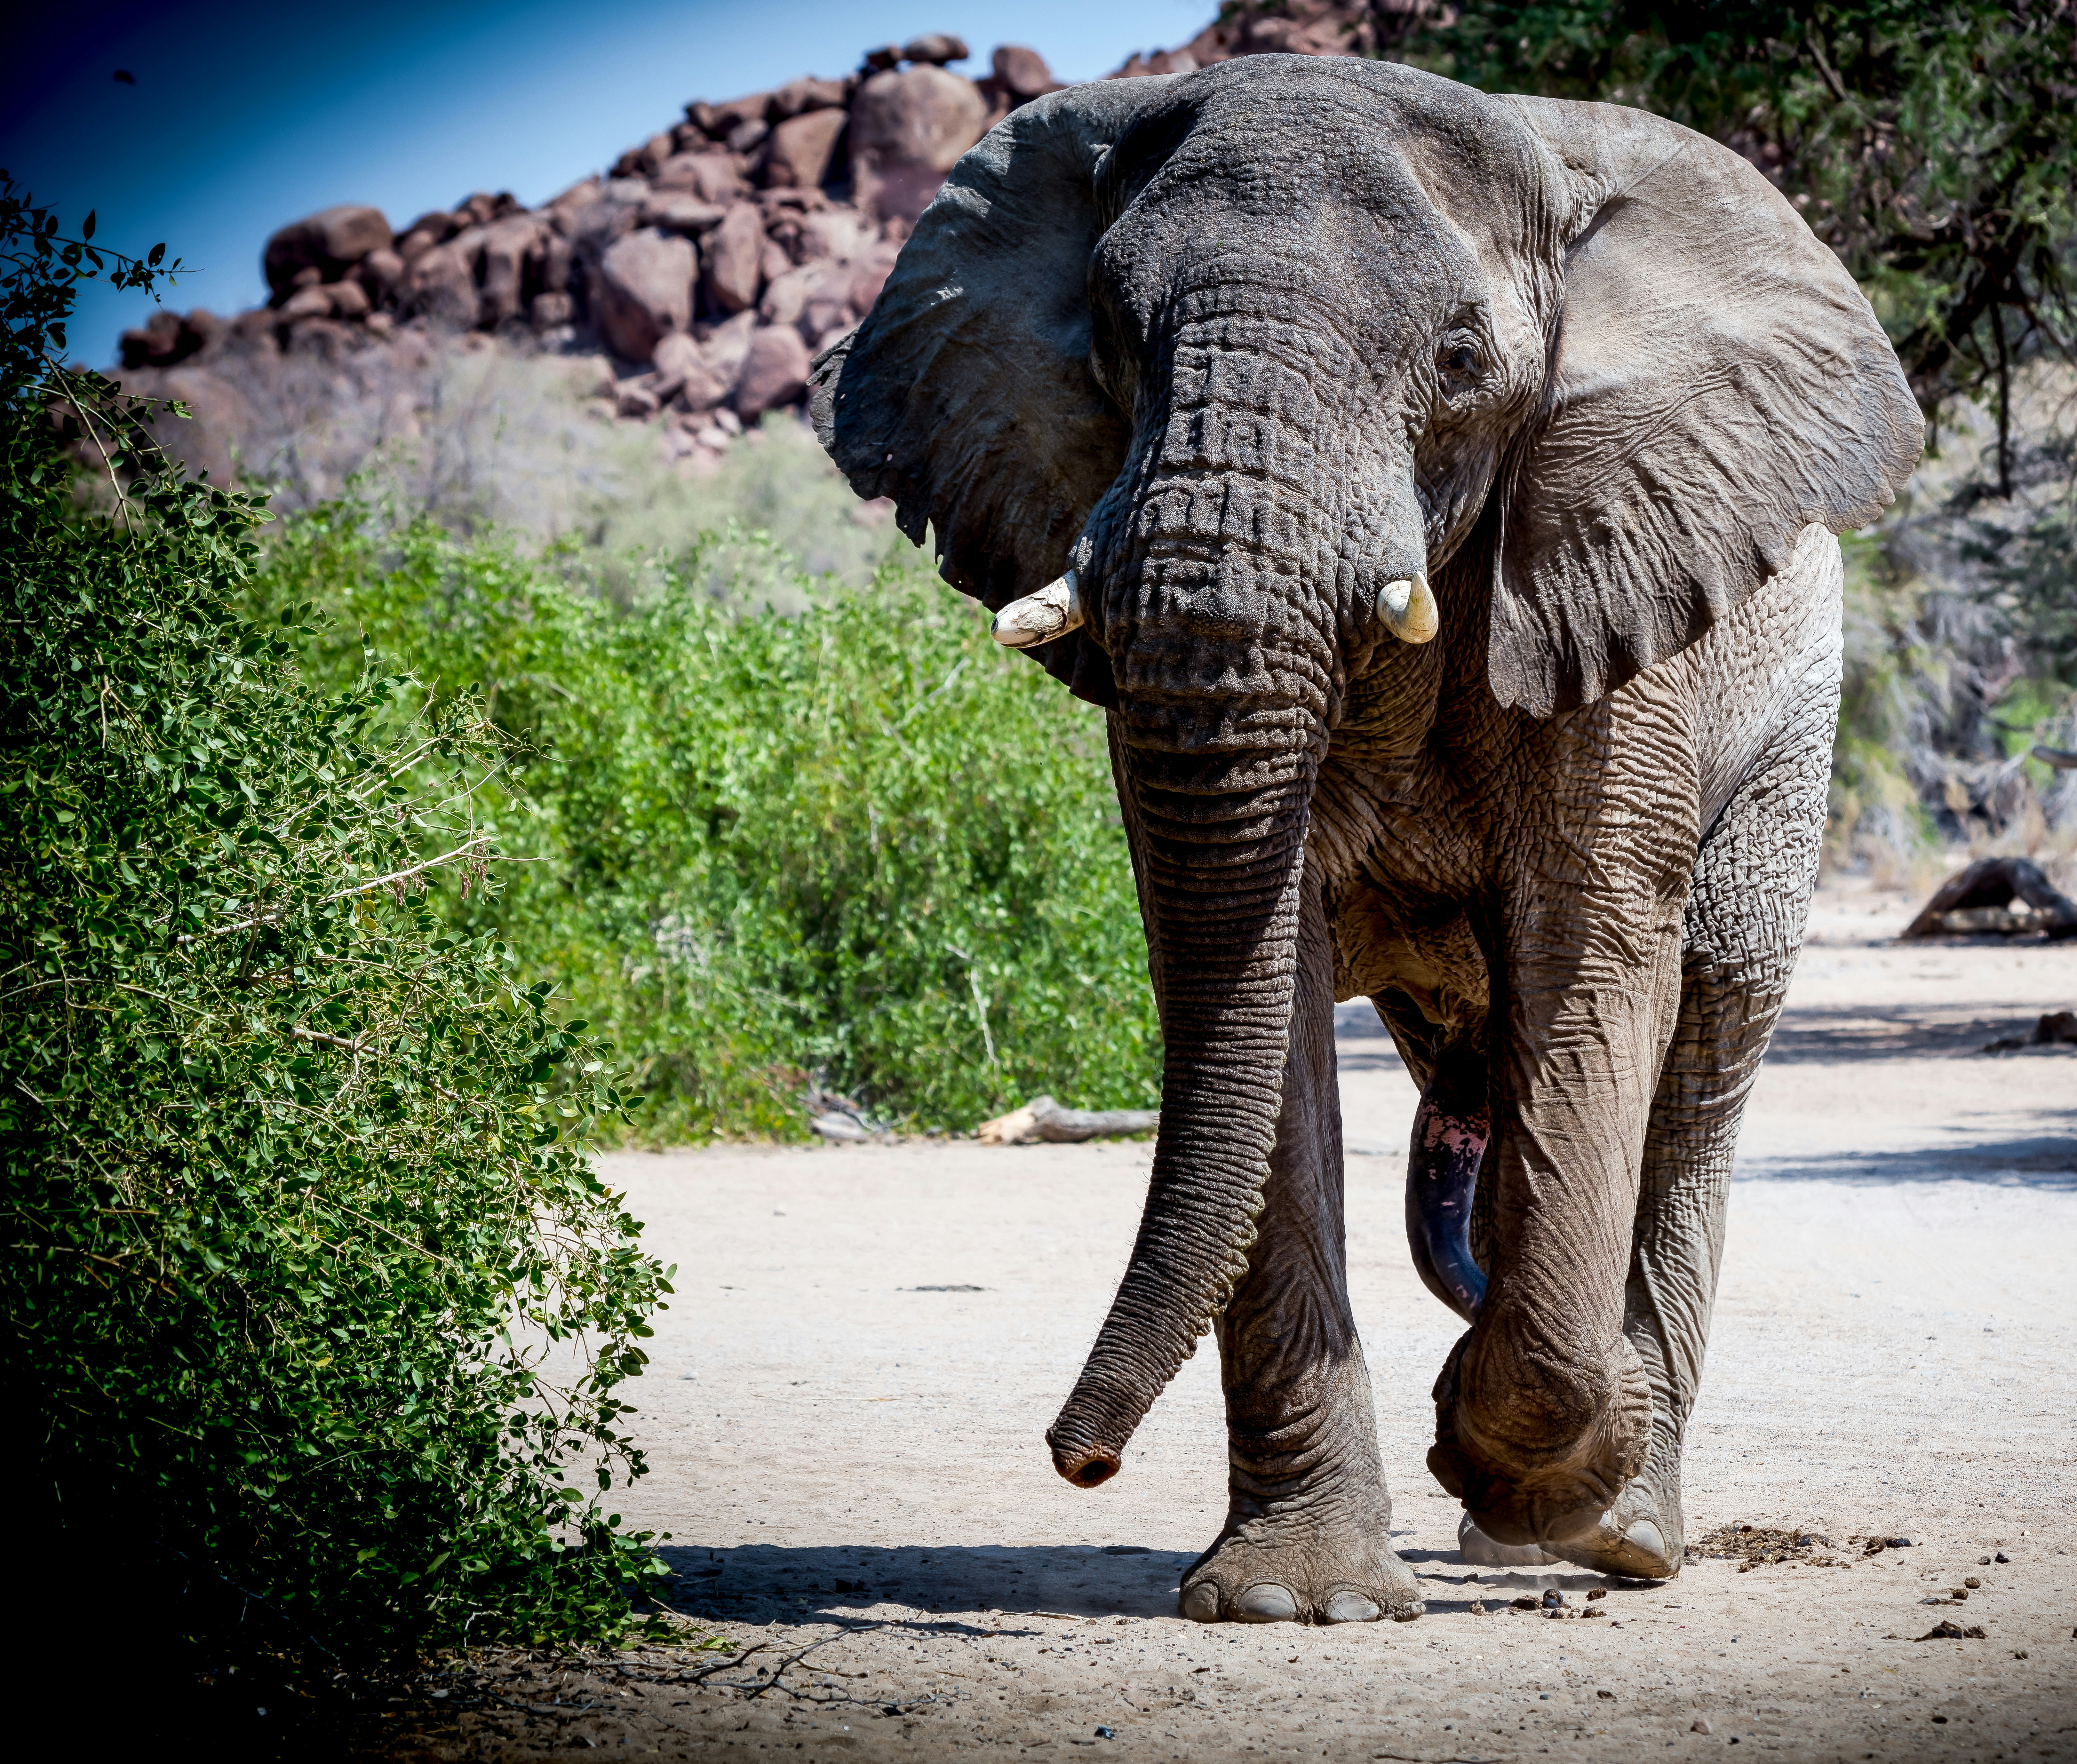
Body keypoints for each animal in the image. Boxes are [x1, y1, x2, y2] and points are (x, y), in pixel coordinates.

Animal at [811, 53, 1920, 1625]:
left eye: (1459, 362)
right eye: (1111, 342)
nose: (1077, 1458)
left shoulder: (1607, 571)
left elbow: (1591, 964)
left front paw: (1516, 1466)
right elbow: (1249, 981)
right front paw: (1298, 1601)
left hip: (1789, 724)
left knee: (1699, 1053)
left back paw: (1619, 1534)